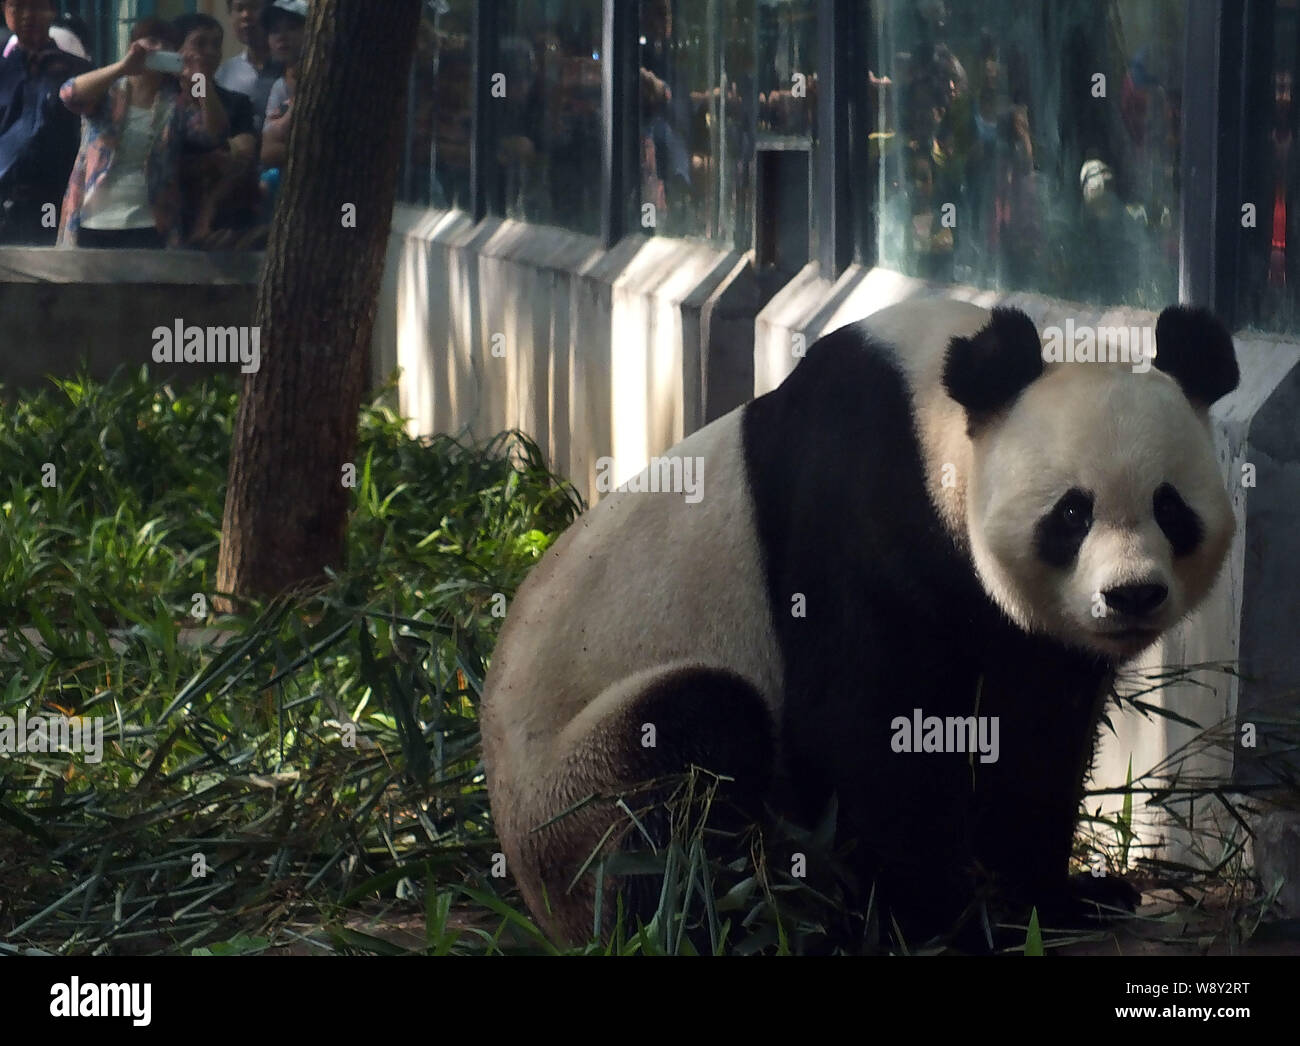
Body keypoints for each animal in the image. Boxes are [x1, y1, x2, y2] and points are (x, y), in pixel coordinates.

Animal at [479, 298, 1240, 948]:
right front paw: (948, 922)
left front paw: (1060, 900)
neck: (936, 416)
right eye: (1073, 513)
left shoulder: (1026, 634)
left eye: (1171, 509)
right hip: (569, 798)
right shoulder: (853, 501)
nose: (1132, 595)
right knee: (680, 757)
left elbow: (1037, 735)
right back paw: (727, 919)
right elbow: (861, 723)